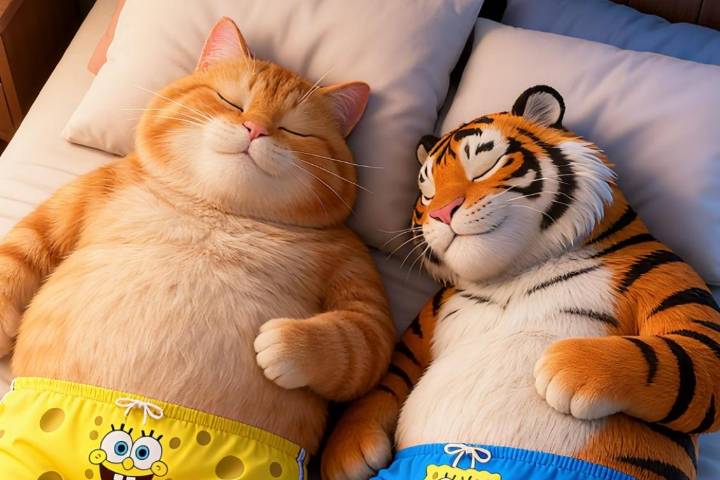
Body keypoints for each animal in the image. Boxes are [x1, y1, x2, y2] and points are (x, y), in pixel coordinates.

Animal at [321, 85, 720, 480]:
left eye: (484, 166)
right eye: (428, 192)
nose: (441, 213)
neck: (514, 271)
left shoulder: (664, 272)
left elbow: (680, 354)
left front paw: (563, 368)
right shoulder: (427, 319)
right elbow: (390, 376)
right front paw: (345, 453)